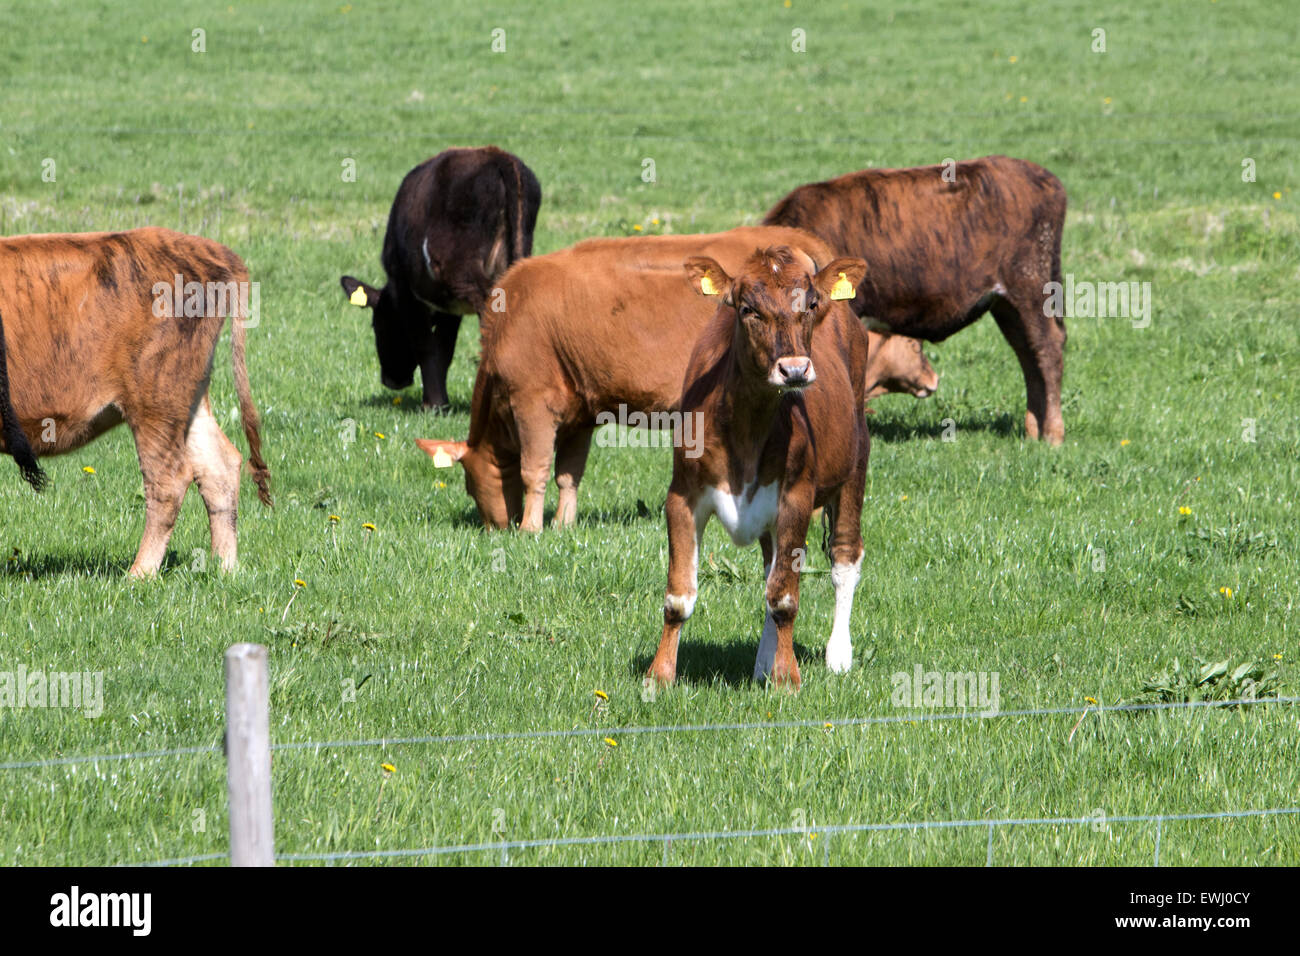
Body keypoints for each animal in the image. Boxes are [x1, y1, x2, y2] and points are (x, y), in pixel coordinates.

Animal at [0, 227, 272, 577]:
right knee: (219, 467)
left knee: (169, 480)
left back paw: (139, 574)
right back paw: (224, 569)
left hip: (154, 401)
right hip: (188, 398)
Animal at [340, 146, 542, 410]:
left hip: (465, 274)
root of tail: (497, 156)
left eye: (378, 324)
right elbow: (445, 349)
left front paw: (433, 404)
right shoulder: (449, 306)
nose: (391, 380)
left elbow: (425, 344)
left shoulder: (405, 290)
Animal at [413, 227, 931, 531]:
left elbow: (533, 469)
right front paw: (563, 526)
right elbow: (567, 475)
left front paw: (531, 531)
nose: (494, 527)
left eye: (468, 483)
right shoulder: (581, 413)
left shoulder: (531, 401)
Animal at [646, 246, 871, 691]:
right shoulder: (682, 495)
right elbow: (678, 597)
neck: (746, 425)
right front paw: (659, 676)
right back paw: (763, 662)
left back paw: (837, 654)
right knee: (772, 567)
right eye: (748, 309)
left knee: (843, 557)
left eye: (811, 305)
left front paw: (787, 678)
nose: (795, 369)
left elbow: (784, 597)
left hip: (855, 463)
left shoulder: (796, 497)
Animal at [764, 155, 1068, 443]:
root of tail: (1046, 179)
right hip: (1006, 305)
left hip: (1029, 290)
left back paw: (1052, 433)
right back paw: (1033, 431)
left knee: (1047, 349)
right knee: (1027, 353)